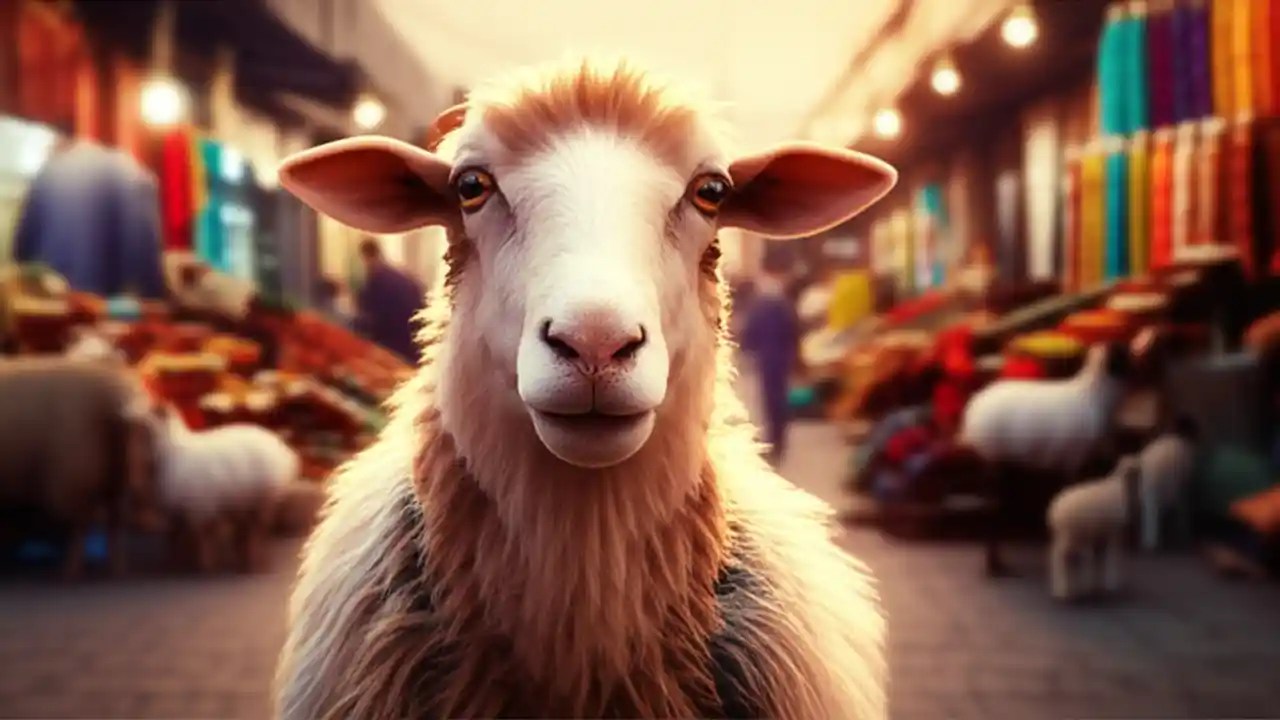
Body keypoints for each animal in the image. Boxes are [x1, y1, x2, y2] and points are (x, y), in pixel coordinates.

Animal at [0, 358, 155, 579]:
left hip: (82, 477)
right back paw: (115, 569)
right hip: (111, 478)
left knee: (86, 525)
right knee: (113, 524)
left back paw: (72, 570)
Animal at [146, 404, 298, 573]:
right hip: (247, 502)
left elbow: (202, 538)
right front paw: (181, 561)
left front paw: (205, 565)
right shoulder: (183, 510)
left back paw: (251, 561)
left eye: (152, 413)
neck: (171, 448)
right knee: (249, 531)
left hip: (262, 501)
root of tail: (282, 449)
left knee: (257, 532)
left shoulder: (200, 508)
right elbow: (178, 537)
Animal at [960, 342, 1135, 576]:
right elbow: (1069, 492)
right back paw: (994, 565)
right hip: (993, 459)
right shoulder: (1073, 460)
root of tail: (974, 407)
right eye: (1121, 352)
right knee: (992, 508)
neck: (1093, 395)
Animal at [1047, 456, 1141, 600]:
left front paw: (1097, 584)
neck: (1119, 485)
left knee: (1059, 558)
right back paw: (1065, 592)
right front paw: (1110, 584)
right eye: (1135, 470)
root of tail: (1054, 512)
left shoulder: (1100, 534)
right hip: (1072, 536)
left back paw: (1063, 589)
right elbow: (1109, 557)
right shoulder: (1112, 533)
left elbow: (1099, 558)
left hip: (1065, 536)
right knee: (1063, 560)